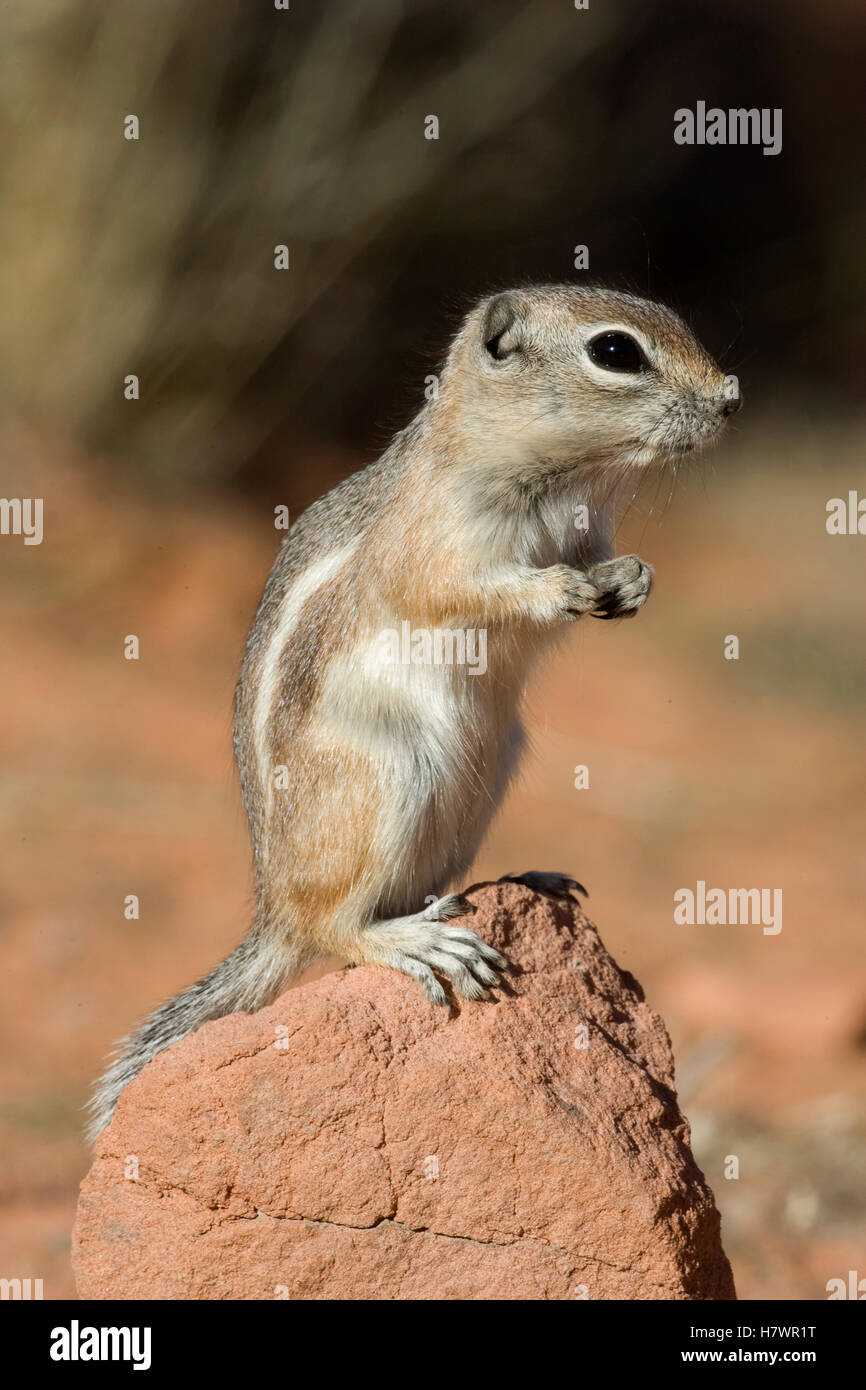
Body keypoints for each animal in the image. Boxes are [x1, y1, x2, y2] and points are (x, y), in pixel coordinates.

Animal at [88, 283, 740, 1140]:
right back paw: (414, 944)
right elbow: (453, 591)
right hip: (386, 775)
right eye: (615, 352)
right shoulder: (433, 546)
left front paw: (633, 580)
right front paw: (558, 589)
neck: (561, 477)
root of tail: (274, 908)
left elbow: (602, 564)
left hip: (485, 775)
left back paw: (517, 882)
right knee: (336, 929)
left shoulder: (588, 529)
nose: (730, 399)